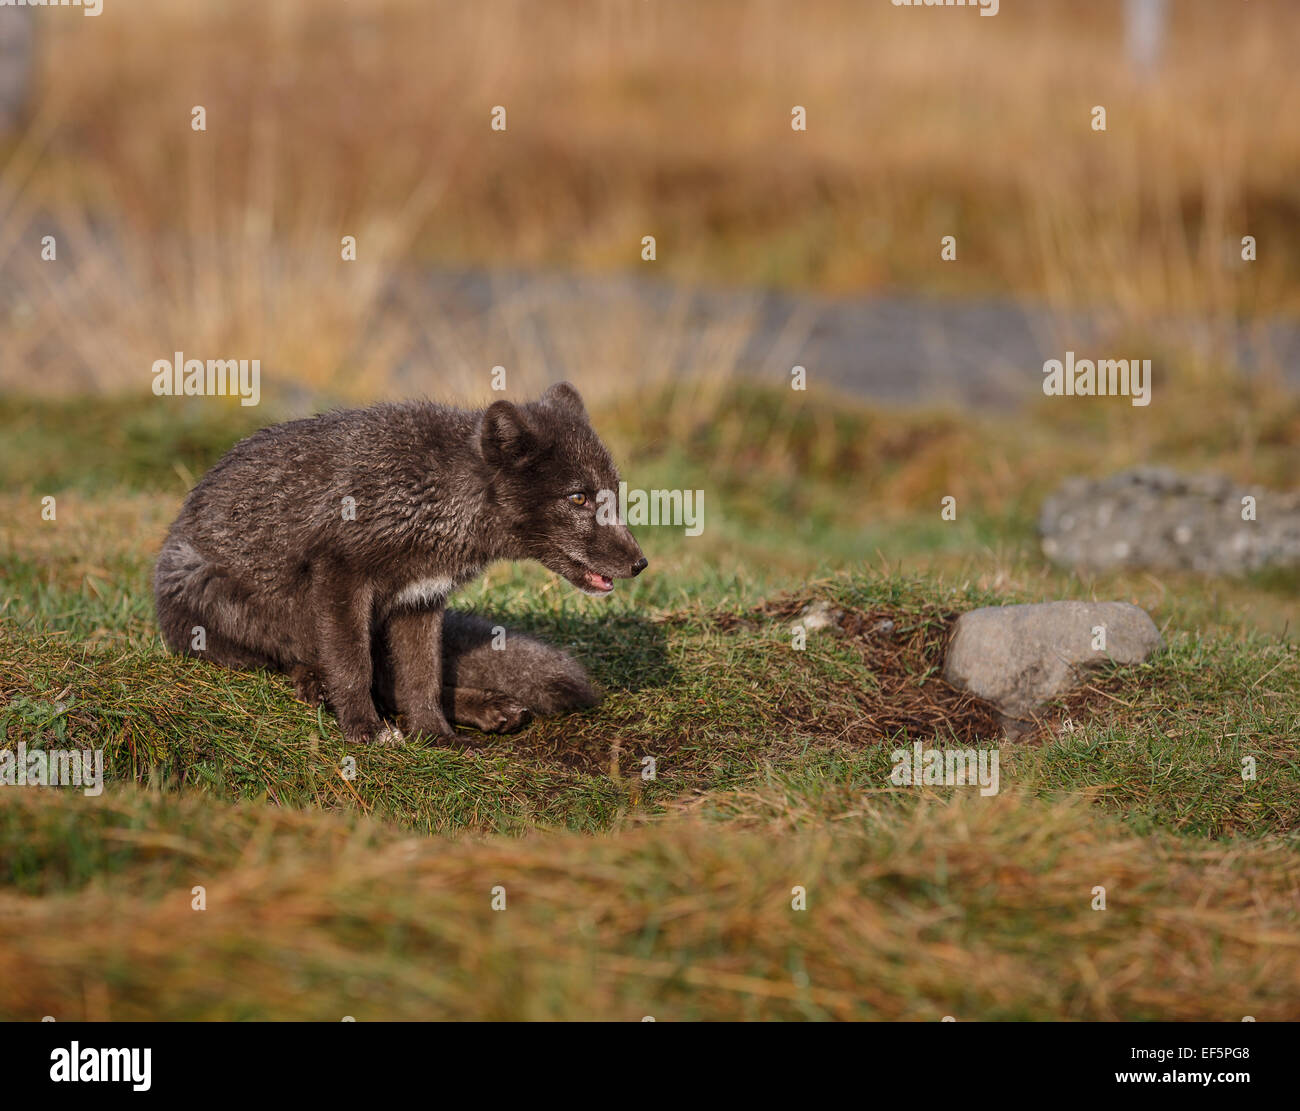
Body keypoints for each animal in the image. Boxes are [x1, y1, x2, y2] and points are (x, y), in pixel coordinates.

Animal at [153, 382, 647, 746]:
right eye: (578, 498)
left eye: (614, 495)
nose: (641, 564)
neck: (436, 497)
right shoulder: (340, 576)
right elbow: (353, 669)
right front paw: (364, 732)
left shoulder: (421, 599)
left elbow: (420, 680)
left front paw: (436, 736)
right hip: (209, 592)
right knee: (296, 661)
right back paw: (317, 685)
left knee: (390, 678)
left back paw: (488, 708)